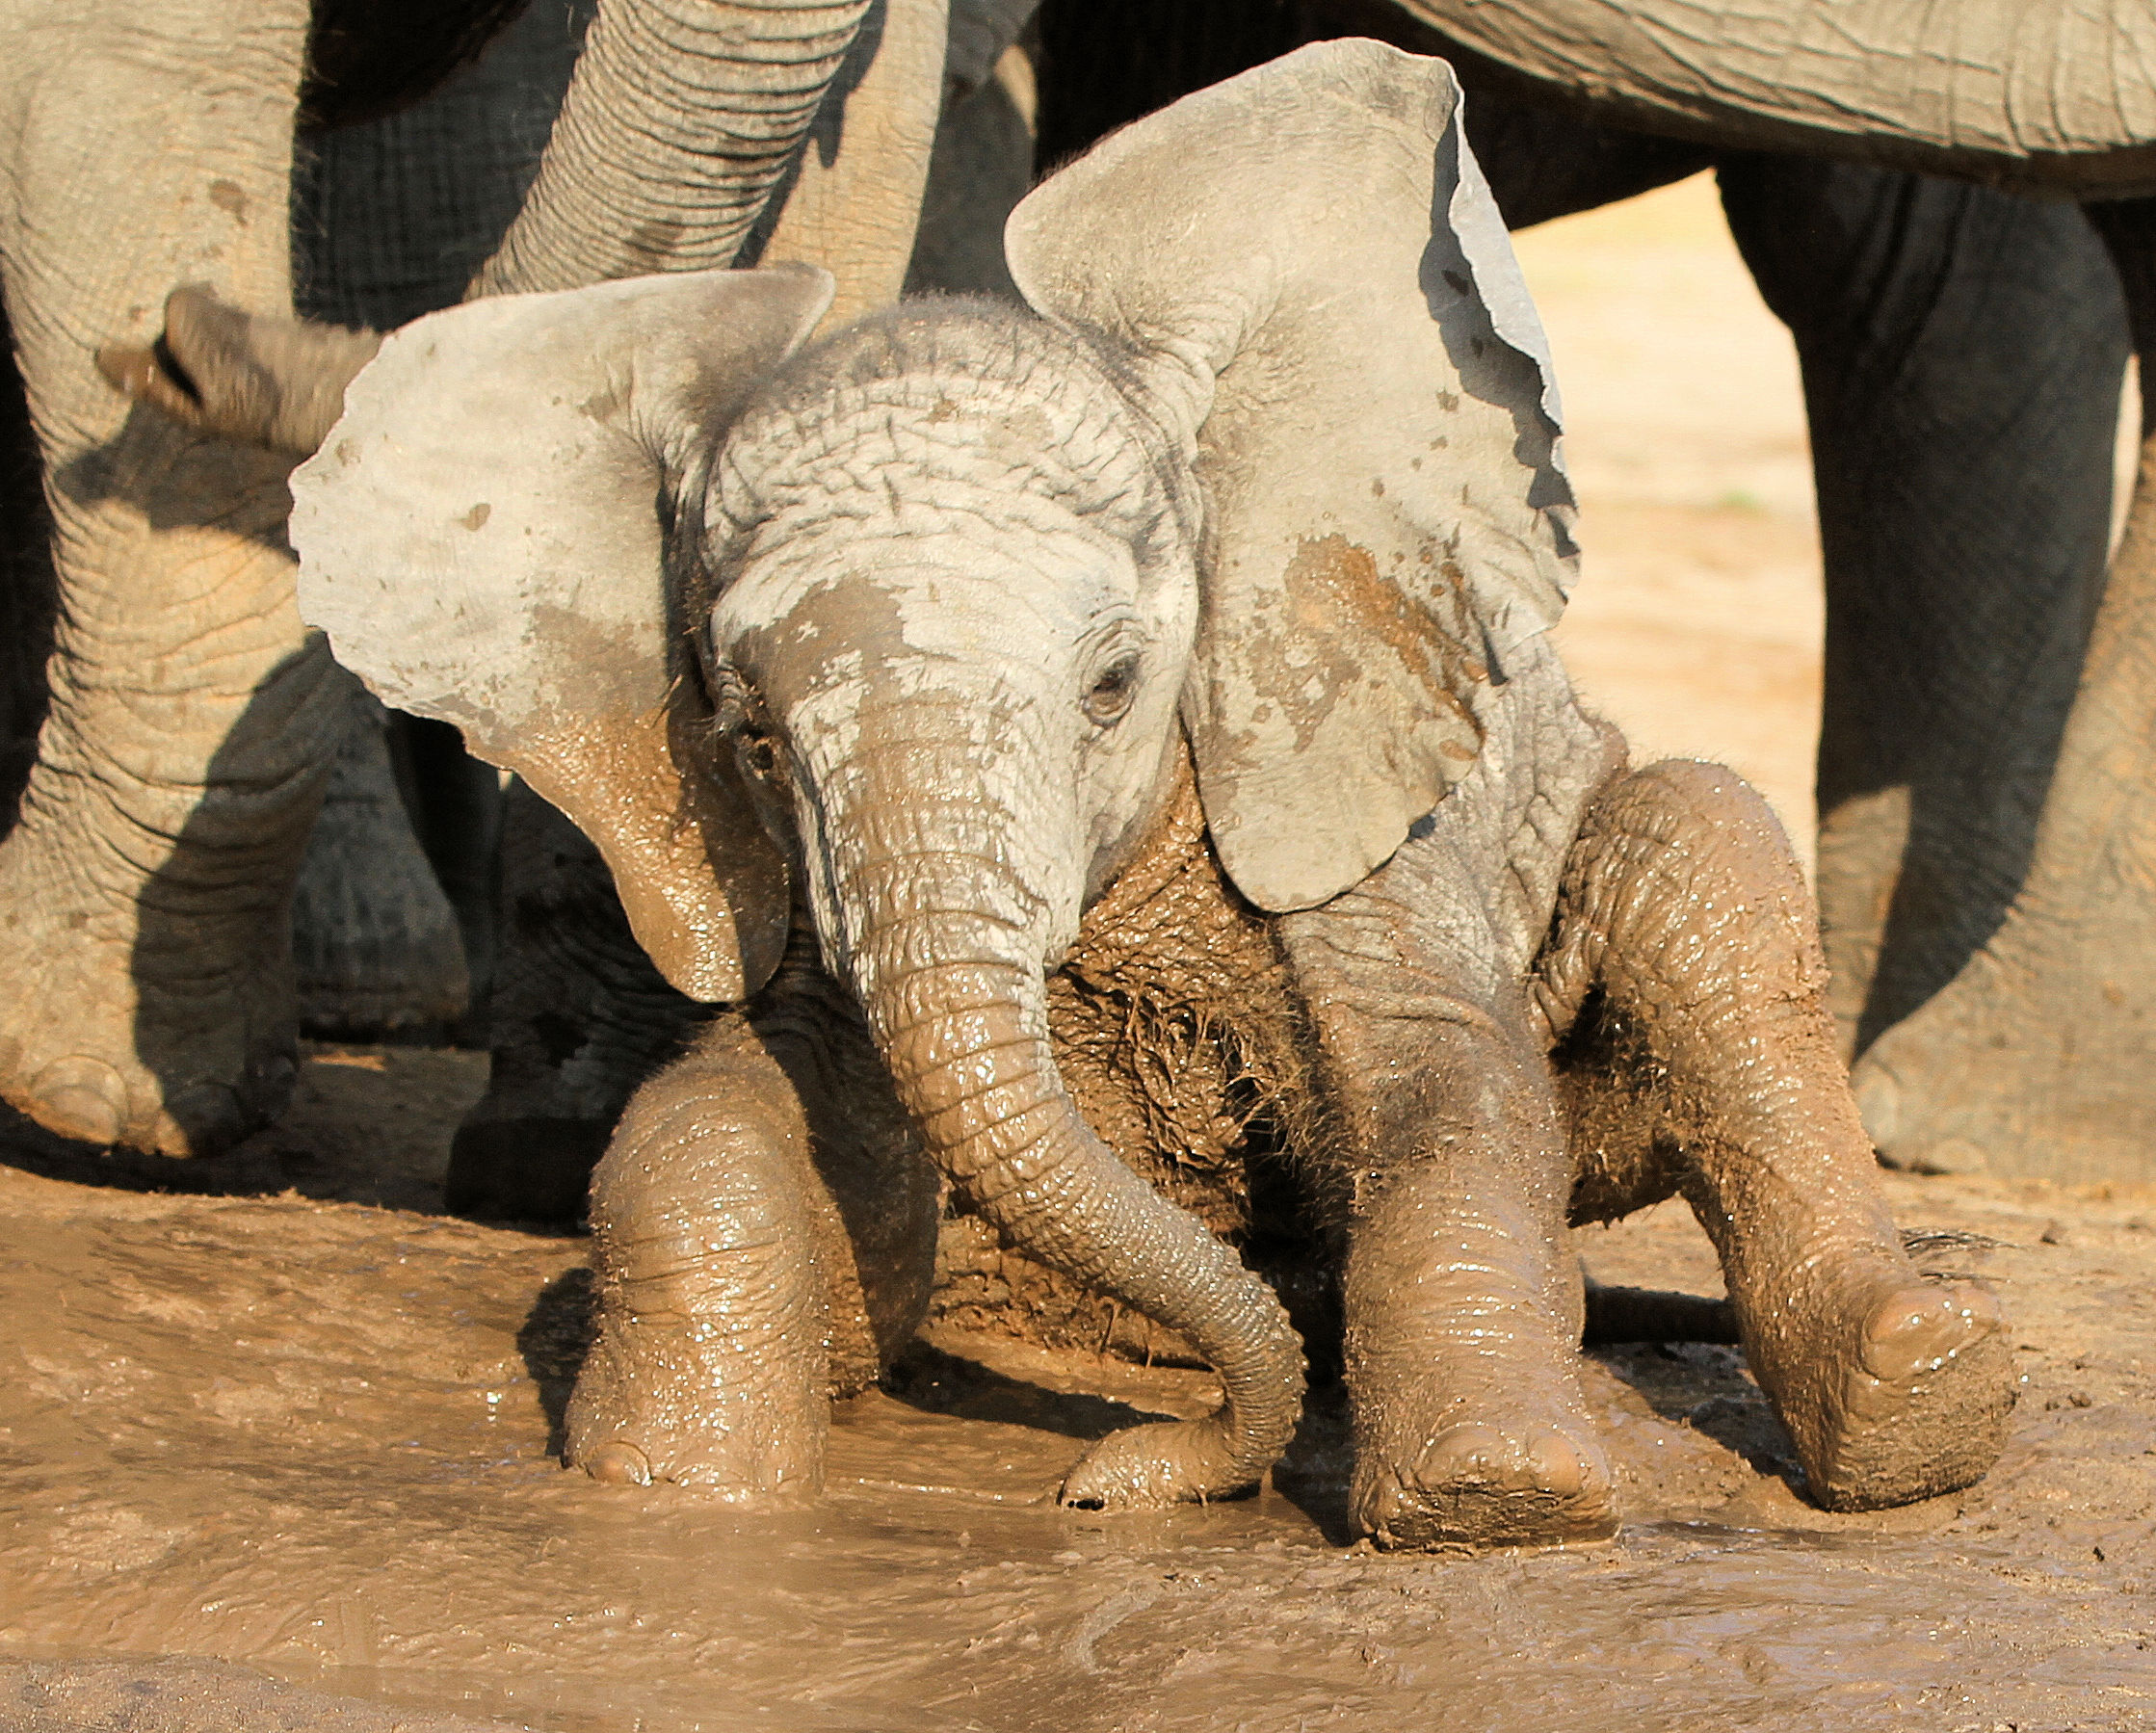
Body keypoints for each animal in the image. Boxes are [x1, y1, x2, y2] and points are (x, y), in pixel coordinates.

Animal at [258, 43, 2013, 1549]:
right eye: (743, 729)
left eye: (1112, 682)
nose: (1111, 1484)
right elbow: (710, 1118)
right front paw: (667, 1484)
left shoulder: (1334, 753)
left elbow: (1448, 1086)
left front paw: (1494, 1502)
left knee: (1697, 855)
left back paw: (1917, 1381)